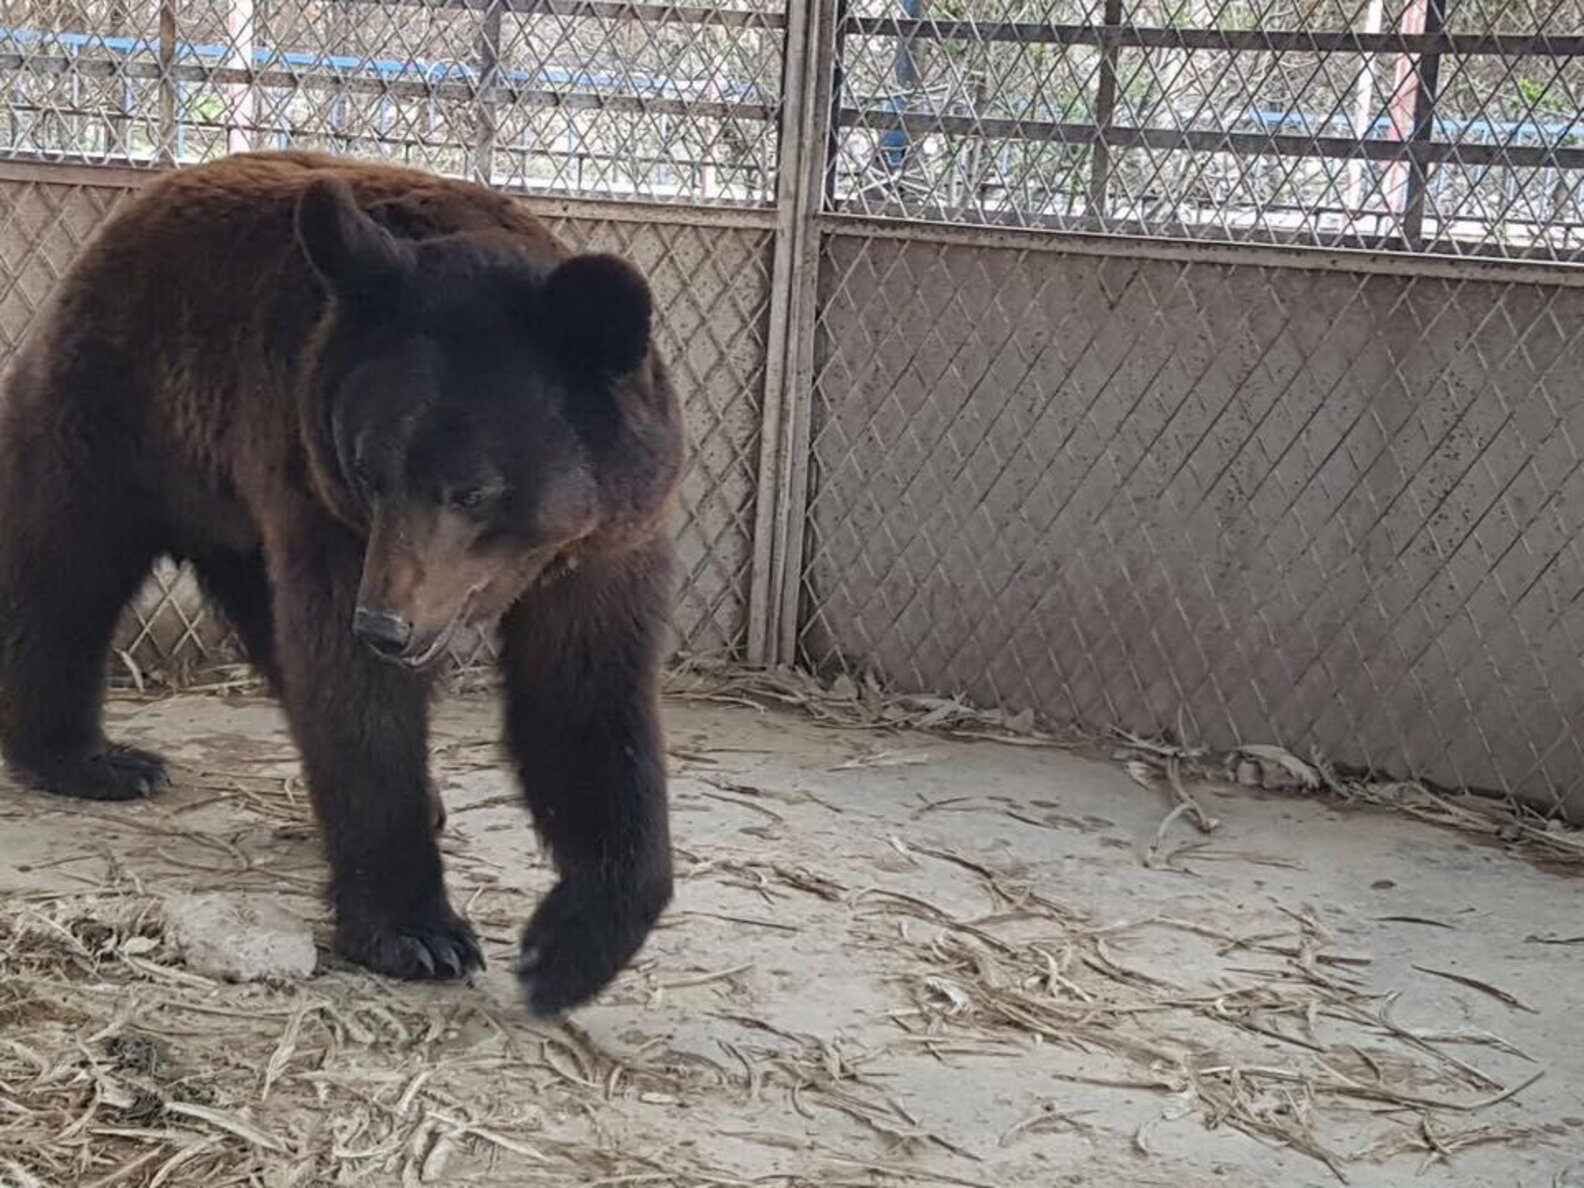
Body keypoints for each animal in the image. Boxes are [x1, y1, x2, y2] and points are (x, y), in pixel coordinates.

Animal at [0, 150, 684, 1017]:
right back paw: (92, 757)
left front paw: (569, 947)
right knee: (68, 567)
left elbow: (590, 703)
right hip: (126, 412)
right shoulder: (326, 506)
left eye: (473, 491)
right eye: (370, 469)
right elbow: (354, 696)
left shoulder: (606, 544)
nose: (388, 624)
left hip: (228, 491)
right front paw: (417, 930)